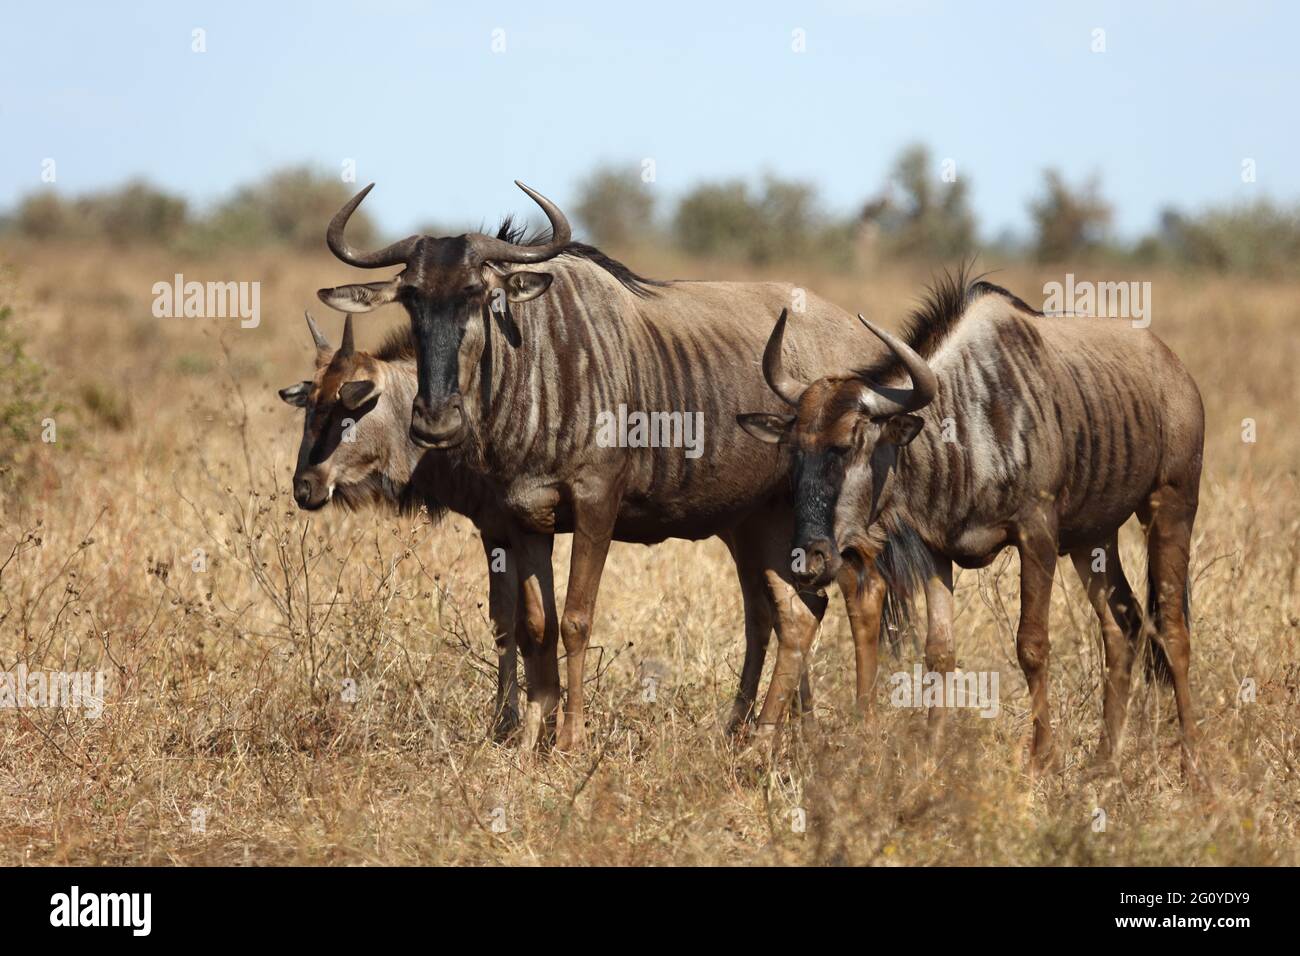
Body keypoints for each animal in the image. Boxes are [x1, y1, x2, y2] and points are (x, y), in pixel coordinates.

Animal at [314, 183, 914, 752]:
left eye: (478, 296)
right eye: (410, 300)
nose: (436, 420)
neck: (534, 364)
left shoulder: (595, 505)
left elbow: (577, 619)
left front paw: (571, 739)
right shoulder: (523, 518)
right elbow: (536, 625)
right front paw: (531, 737)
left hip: (829, 525)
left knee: (859, 596)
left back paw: (854, 728)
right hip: (757, 523)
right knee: (791, 612)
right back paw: (761, 734)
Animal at [739, 270, 1205, 776]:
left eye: (847, 447)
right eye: (794, 453)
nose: (808, 561)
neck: (964, 422)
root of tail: (1176, 370)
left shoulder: (1037, 534)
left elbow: (1031, 645)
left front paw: (1043, 756)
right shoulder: (936, 551)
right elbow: (939, 652)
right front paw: (930, 754)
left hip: (1171, 505)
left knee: (1173, 630)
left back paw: (1192, 762)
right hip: (1093, 538)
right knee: (1124, 626)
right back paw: (1105, 759)